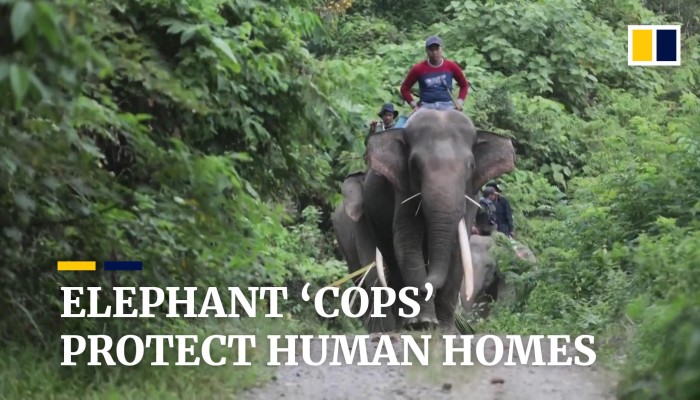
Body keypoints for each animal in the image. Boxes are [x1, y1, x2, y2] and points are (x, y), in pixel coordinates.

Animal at [333, 109, 515, 333]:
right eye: (415, 165)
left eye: (471, 166)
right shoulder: (399, 189)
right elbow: (406, 240)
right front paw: (422, 322)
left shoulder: (471, 193)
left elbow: (457, 248)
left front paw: (445, 330)